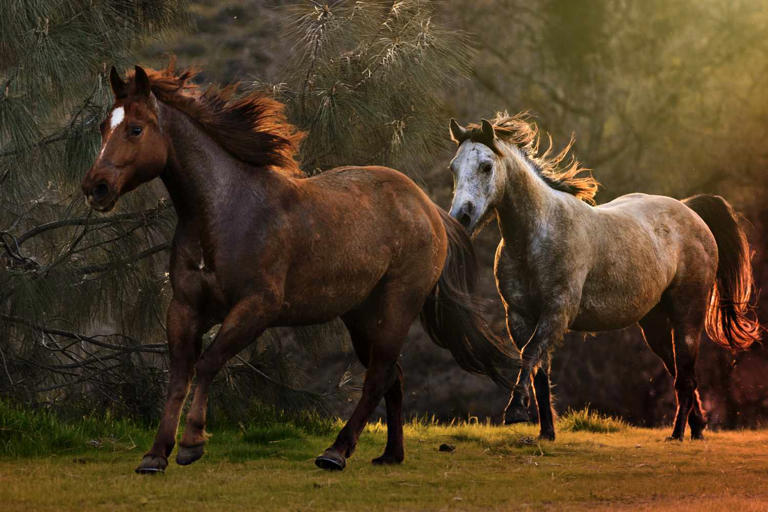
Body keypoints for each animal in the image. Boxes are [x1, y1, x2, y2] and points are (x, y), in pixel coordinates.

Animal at [80, 63, 518, 474]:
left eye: (135, 129)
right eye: (103, 126)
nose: (95, 188)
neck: (225, 213)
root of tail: (427, 207)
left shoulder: (256, 307)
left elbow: (207, 364)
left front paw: (191, 444)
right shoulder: (184, 308)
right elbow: (178, 377)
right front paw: (155, 455)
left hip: (396, 308)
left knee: (378, 377)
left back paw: (335, 452)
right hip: (361, 318)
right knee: (393, 375)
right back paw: (390, 455)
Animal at [447, 113, 761, 441]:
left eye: (486, 166)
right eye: (454, 168)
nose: (461, 218)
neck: (536, 235)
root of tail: (689, 210)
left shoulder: (557, 312)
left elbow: (530, 354)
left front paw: (516, 411)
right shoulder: (519, 317)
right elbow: (536, 369)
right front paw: (546, 433)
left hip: (688, 316)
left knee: (685, 377)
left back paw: (677, 434)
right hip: (655, 326)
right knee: (682, 374)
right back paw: (697, 429)